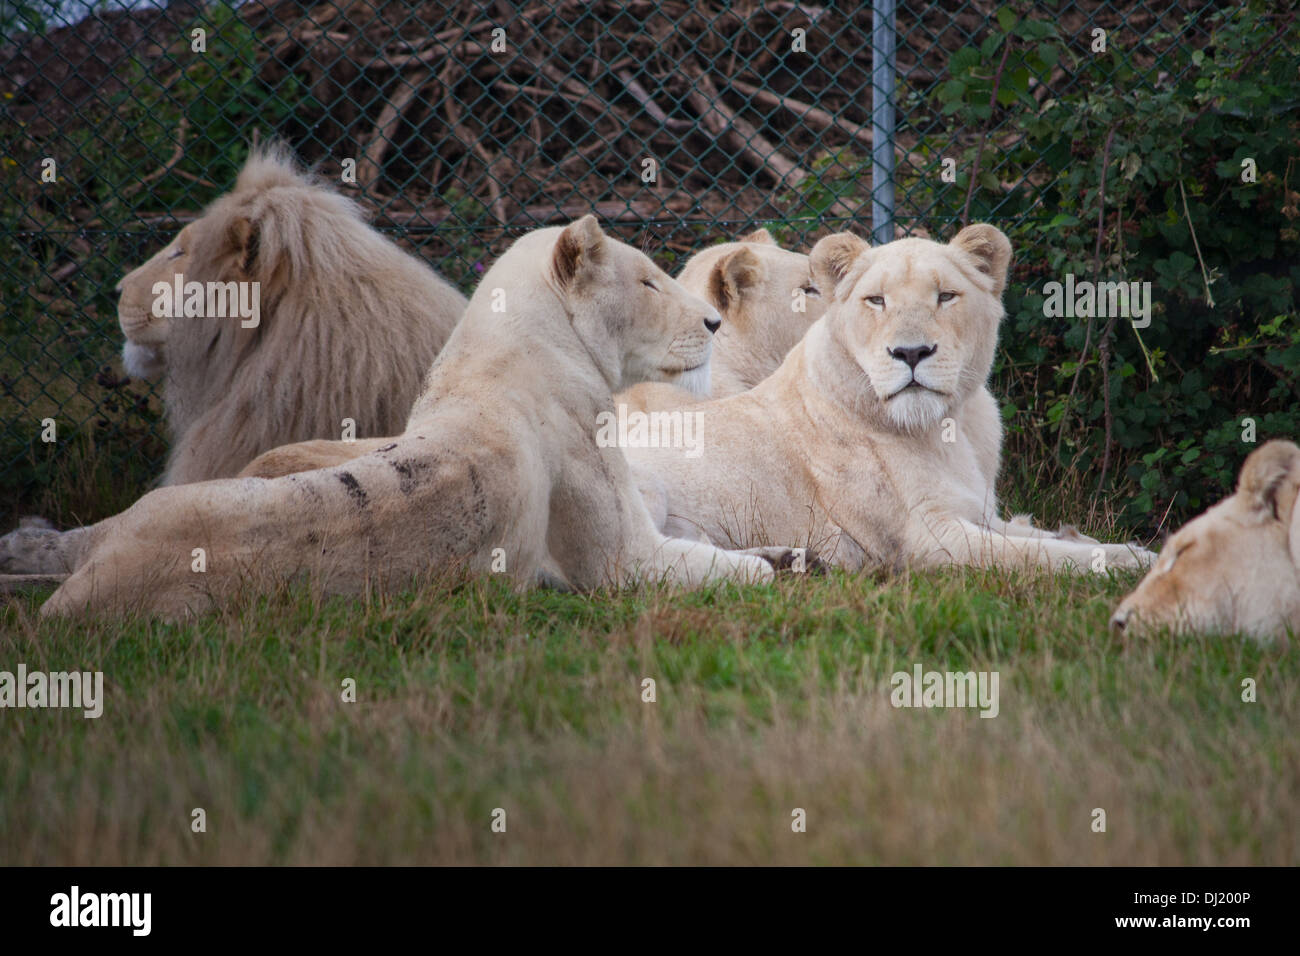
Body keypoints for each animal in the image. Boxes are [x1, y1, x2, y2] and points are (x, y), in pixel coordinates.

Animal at [39, 216, 802, 619]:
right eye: (647, 281)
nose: (712, 322)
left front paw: (785, 553)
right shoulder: (621, 562)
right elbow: (737, 574)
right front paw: (775, 566)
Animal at [624, 224, 1156, 573]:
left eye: (945, 296)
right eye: (876, 300)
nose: (911, 352)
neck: (949, 428)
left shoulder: (980, 512)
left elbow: (1048, 537)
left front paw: (1136, 552)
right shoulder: (926, 541)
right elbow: (1039, 555)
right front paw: (1127, 566)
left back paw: (788, 560)